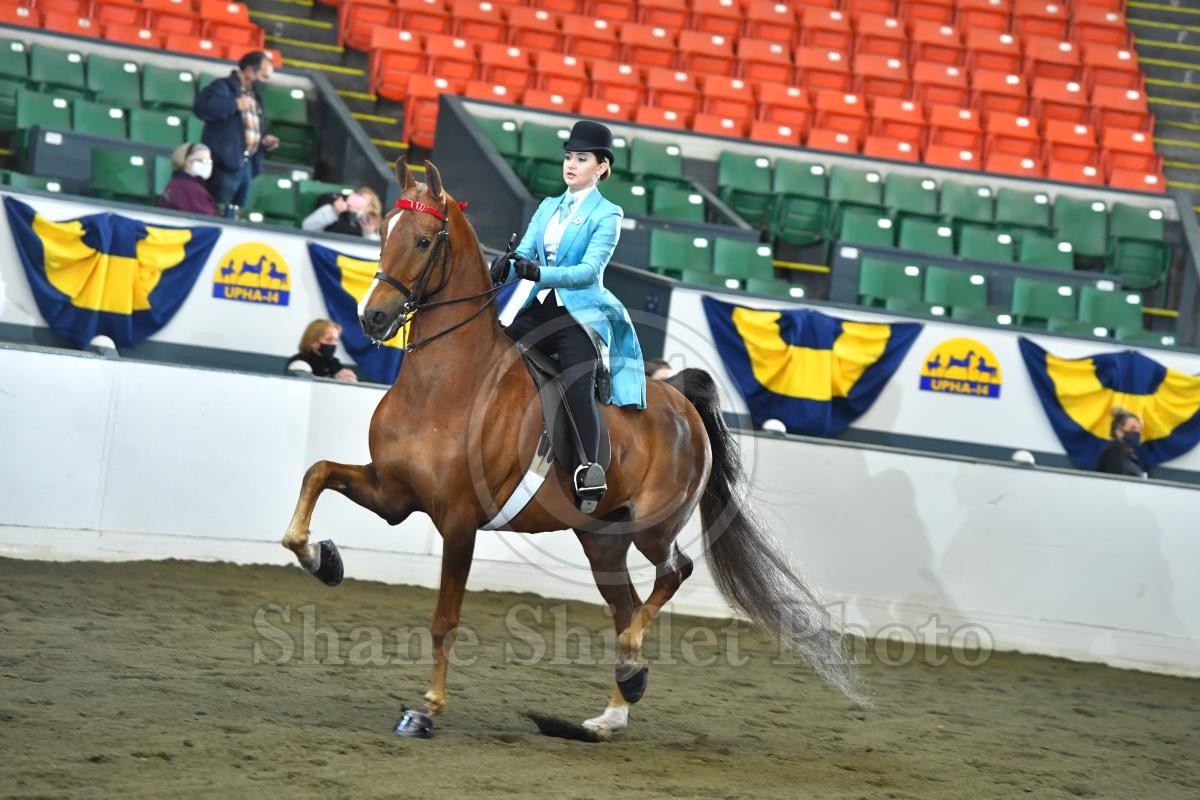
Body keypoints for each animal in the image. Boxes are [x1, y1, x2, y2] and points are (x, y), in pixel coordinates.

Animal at [280, 158, 863, 739]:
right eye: (382, 232)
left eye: (424, 240)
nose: (372, 319)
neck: (444, 381)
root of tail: (682, 403)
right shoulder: (394, 495)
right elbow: (317, 474)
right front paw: (322, 558)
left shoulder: (459, 520)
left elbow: (445, 618)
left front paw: (425, 710)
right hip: (602, 539)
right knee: (626, 604)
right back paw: (613, 709)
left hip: (652, 527)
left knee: (673, 574)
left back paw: (630, 667)